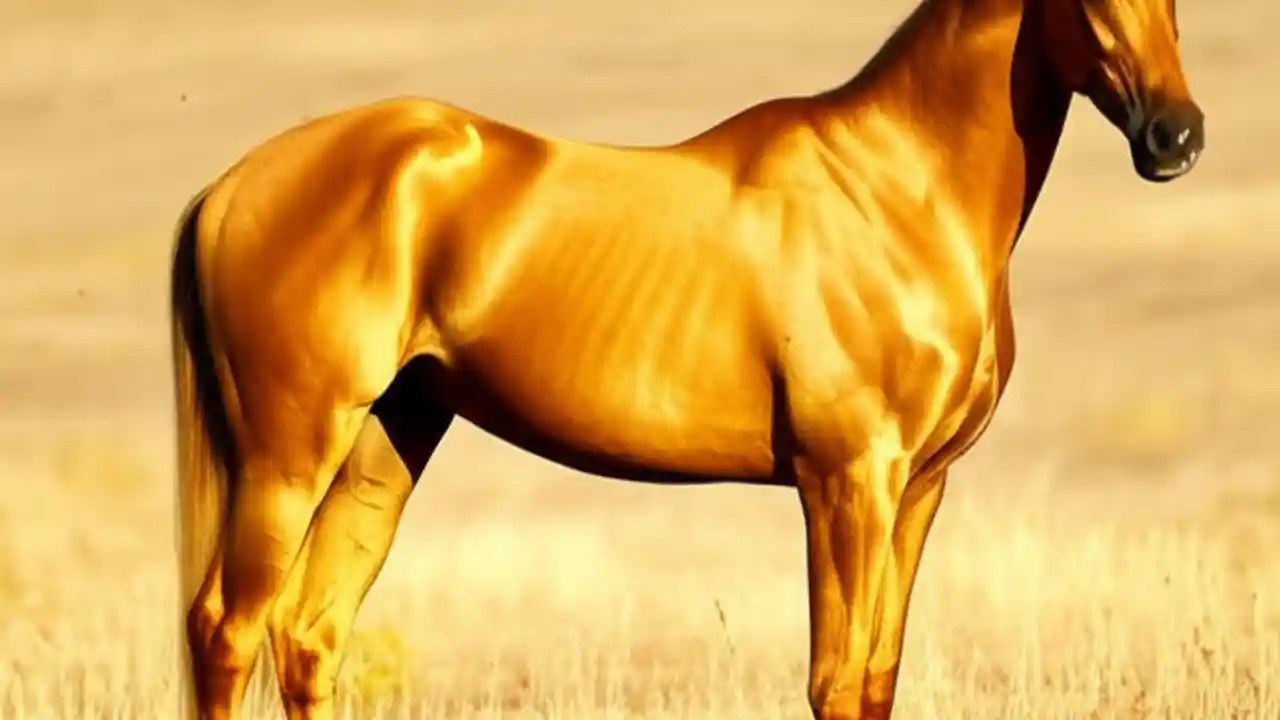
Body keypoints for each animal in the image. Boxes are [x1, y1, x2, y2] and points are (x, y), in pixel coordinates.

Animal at [169, 0, 1203, 717]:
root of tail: (229, 188)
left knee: (309, 635)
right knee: (227, 630)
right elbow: (835, 681)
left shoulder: (919, 490)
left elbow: (875, 679)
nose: (1176, 137)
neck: (899, 194)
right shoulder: (847, 485)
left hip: (387, 443)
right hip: (288, 456)